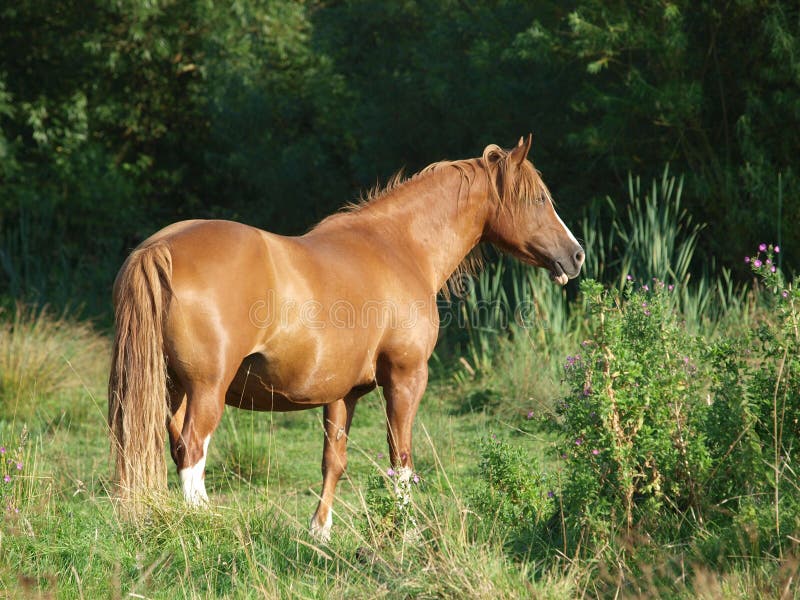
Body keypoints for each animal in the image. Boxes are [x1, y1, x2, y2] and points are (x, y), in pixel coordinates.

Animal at [108, 135, 584, 540]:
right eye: (539, 199)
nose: (576, 255)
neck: (398, 246)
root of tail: (160, 248)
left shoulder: (342, 393)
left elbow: (333, 461)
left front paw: (320, 531)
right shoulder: (406, 379)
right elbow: (400, 458)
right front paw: (406, 532)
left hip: (170, 389)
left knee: (163, 444)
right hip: (207, 390)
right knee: (192, 450)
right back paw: (206, 522)